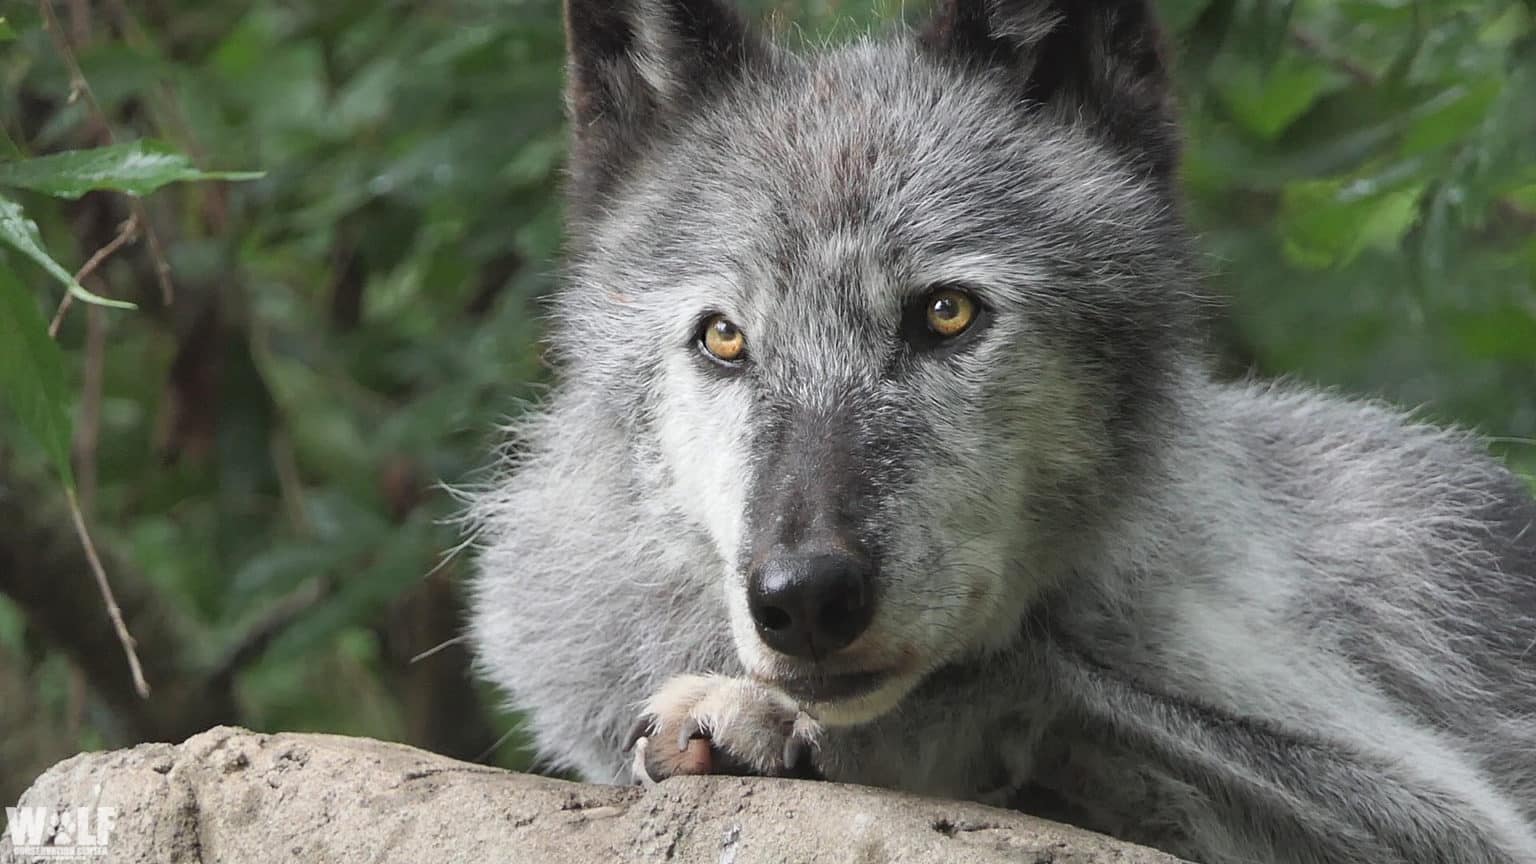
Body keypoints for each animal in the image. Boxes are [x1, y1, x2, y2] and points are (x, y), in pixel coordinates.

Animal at [467, 1, 1536, 861]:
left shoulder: (1459, 818)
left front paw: (769, 715)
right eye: (724, 337)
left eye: (946, 313)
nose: (804, 599)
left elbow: (1023, 675)